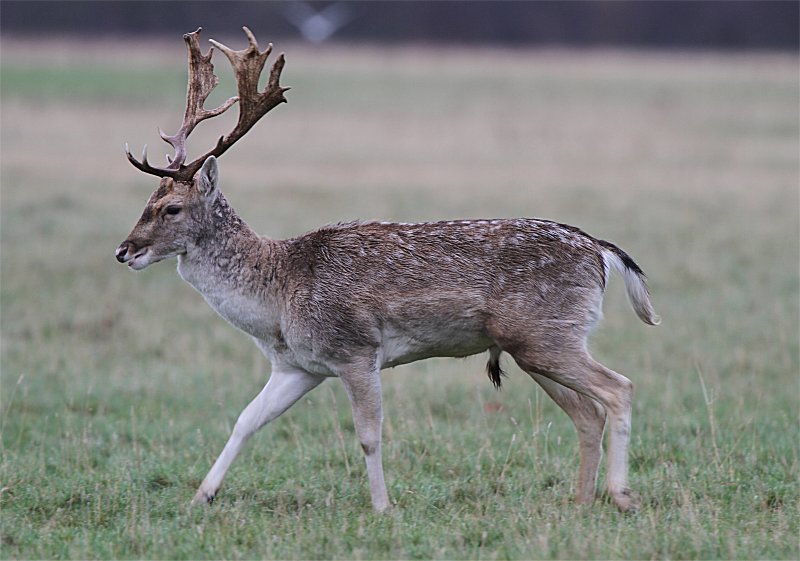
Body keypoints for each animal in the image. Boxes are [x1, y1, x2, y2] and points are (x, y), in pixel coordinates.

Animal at [116, 27, 660, 513]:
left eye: (171, 208)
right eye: (147, 200)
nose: (124, 250)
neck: (278, 297)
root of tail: (601, 251)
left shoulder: (356, 350)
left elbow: (368, 436)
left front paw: (382, 508)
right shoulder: (297, 366)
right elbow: (246, 420)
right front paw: (200, 497)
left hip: (547, 334)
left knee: (620, 388)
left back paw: (620, 496)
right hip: (534, 345)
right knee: (588, 413)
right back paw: (581, 502)